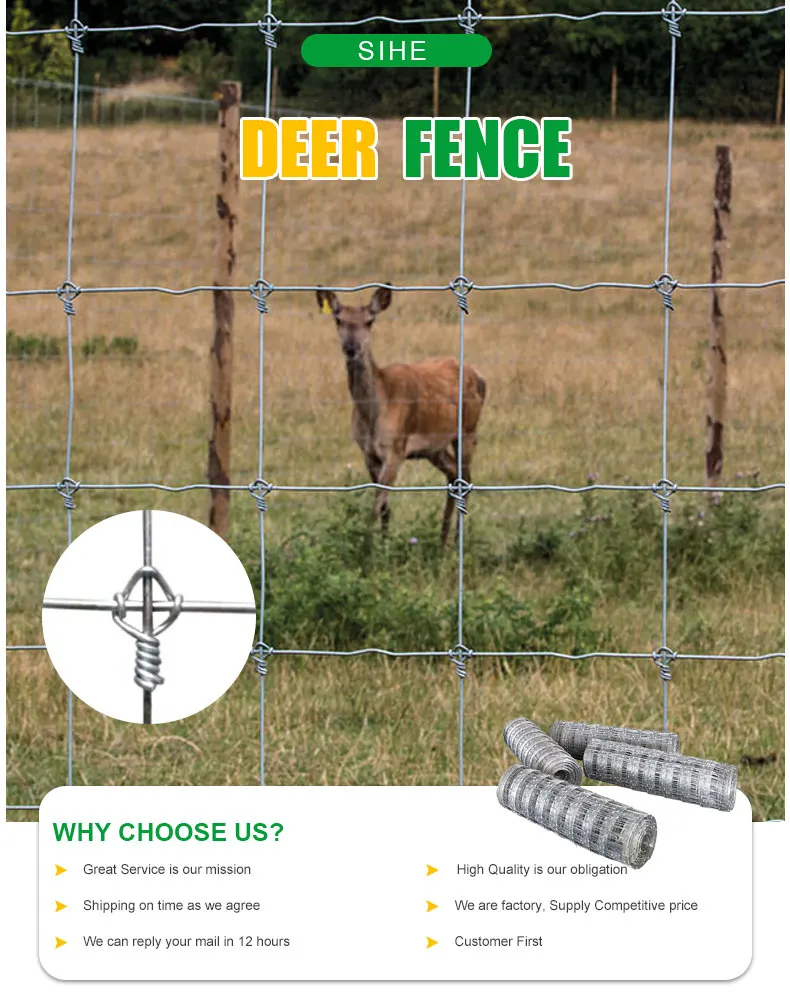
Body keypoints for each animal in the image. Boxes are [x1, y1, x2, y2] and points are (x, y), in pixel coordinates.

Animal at [317, 284, 487, 546]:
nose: (351, 349)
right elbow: (385, 506)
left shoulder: (396, 449)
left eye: (370, 321)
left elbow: (376, 506)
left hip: (468, 430)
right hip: (434, 447)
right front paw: (382, 543)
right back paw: (442, 542)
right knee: (453, 474)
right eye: (338, 320)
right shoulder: (368, 452)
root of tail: (480, 377)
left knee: (465, 479)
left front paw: (367, 549)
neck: (374, 411)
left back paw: (456, 540)